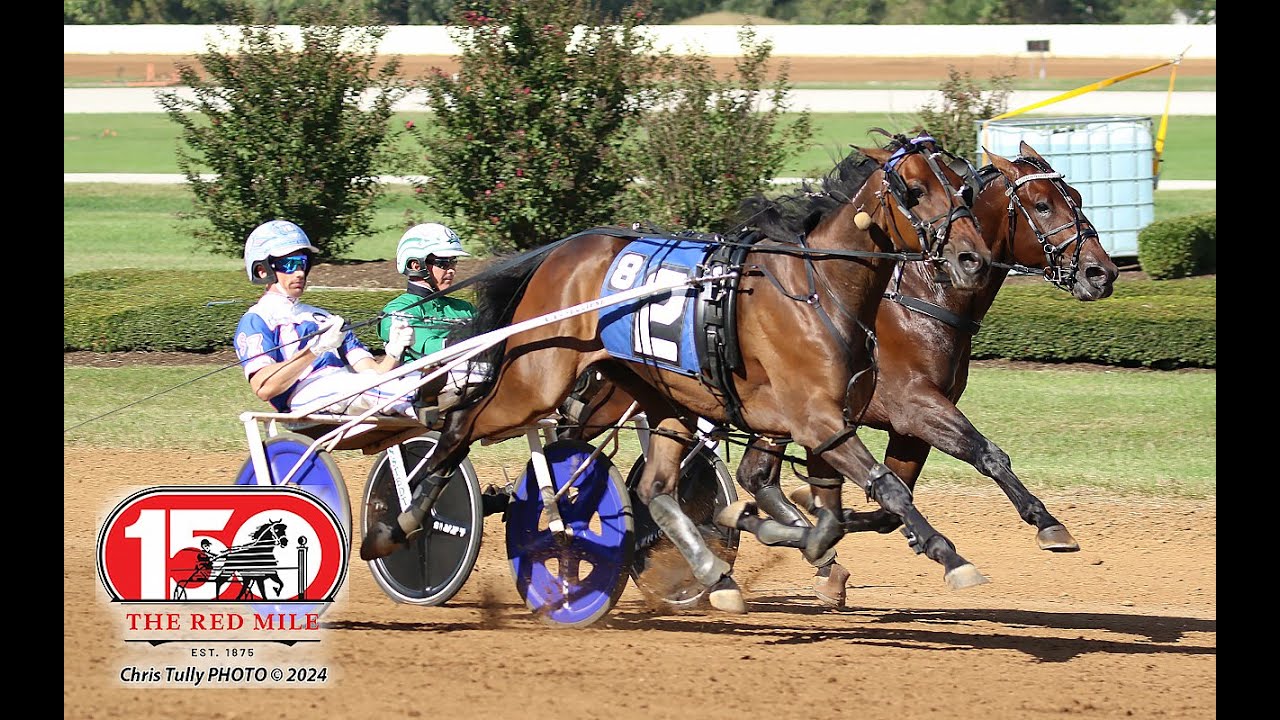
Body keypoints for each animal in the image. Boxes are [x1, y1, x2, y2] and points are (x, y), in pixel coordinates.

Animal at [359, 131, 996, 614]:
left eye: (962, 186)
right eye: (914, 190)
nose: (973, 258)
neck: (820, 291)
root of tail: (561, 253)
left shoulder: (826, 422)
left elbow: (826, 515)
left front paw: (773, 531)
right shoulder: (816, 420)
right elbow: (883, 489)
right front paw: (948, 554)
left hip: (654, 397)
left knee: (654, 490)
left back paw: (713, 571)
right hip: (536, 382)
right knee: (459, 428)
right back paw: (400, 521)